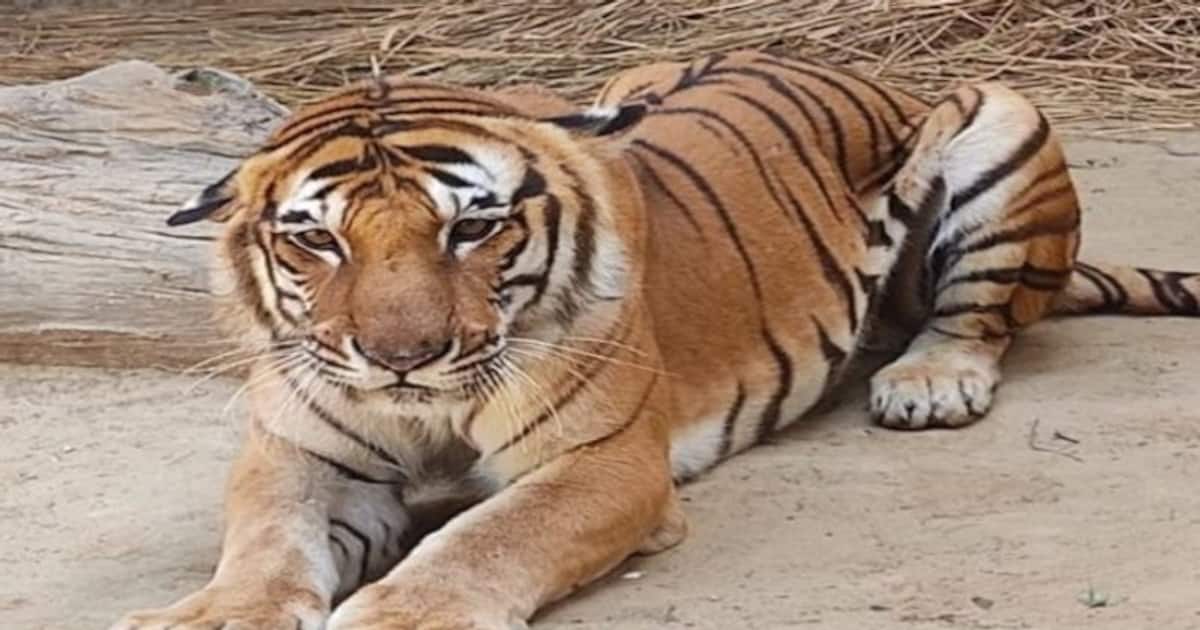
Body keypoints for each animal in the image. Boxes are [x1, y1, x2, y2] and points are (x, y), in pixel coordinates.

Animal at [112, 50, 1200, 630]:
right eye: (316, 240)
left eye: (472, 227)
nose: (402, 360)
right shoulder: (299, 453)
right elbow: (264, 539)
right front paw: (215, 613)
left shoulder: (603, 463)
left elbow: (488, 534)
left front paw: (400, 610)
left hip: (1002, 117)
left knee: (978, 317)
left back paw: (928, 380)